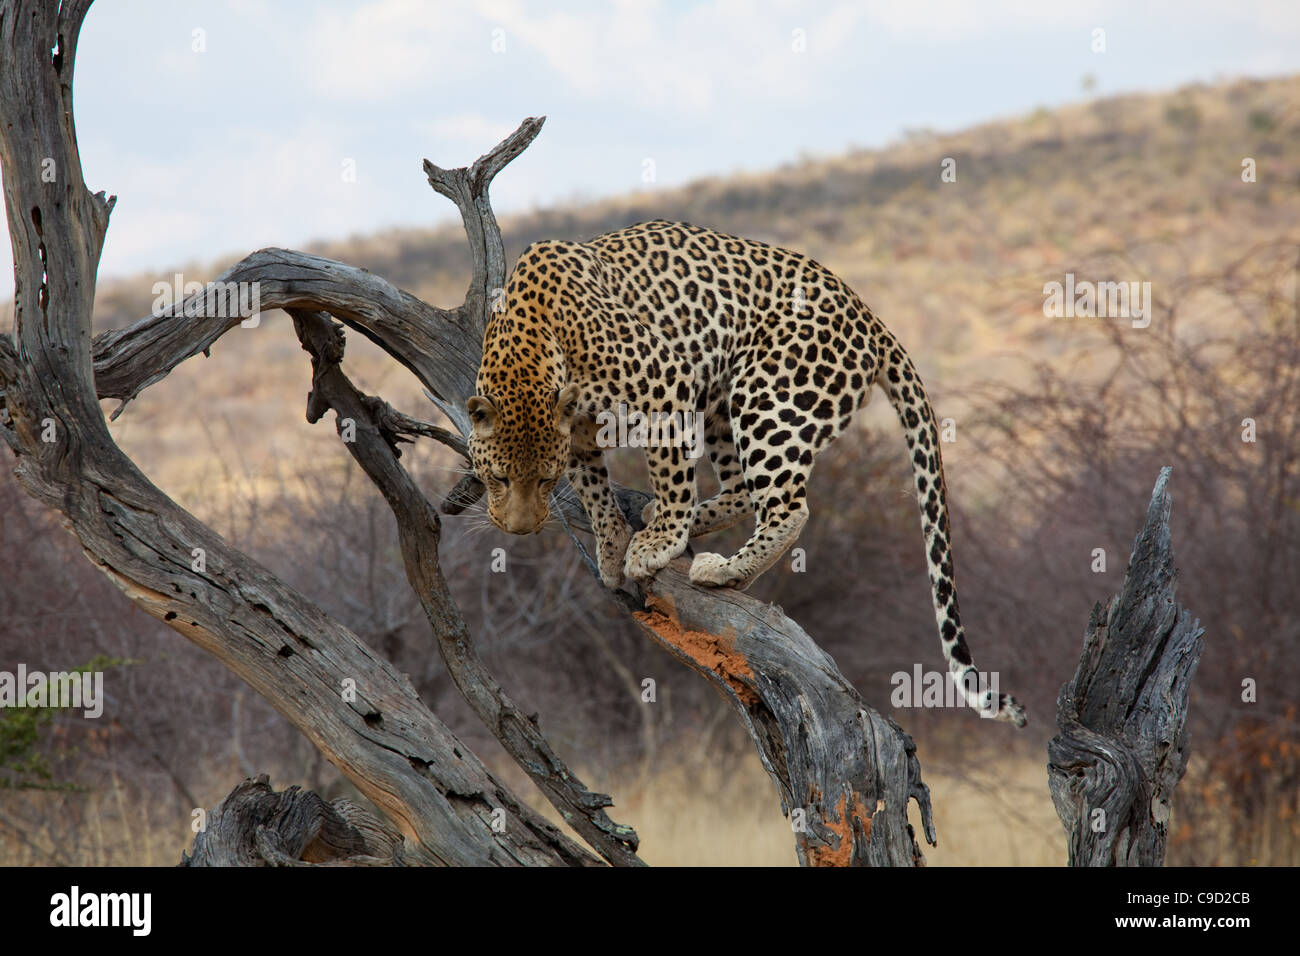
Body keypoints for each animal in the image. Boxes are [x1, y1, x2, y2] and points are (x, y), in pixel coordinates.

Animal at [466, 219, 1026, 726]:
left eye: (543, 481)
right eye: (499, 479)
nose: (520, 530)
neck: (533, 342)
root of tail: (869, 314)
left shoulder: (667, 381)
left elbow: (668, 468)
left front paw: (658, 543)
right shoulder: (580, 430)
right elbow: (594, 492)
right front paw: (611, 544)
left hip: (768, 397)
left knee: (788, 507)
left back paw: (721, 566)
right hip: (722, 403)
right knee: (740, 491)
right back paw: (677, 524)